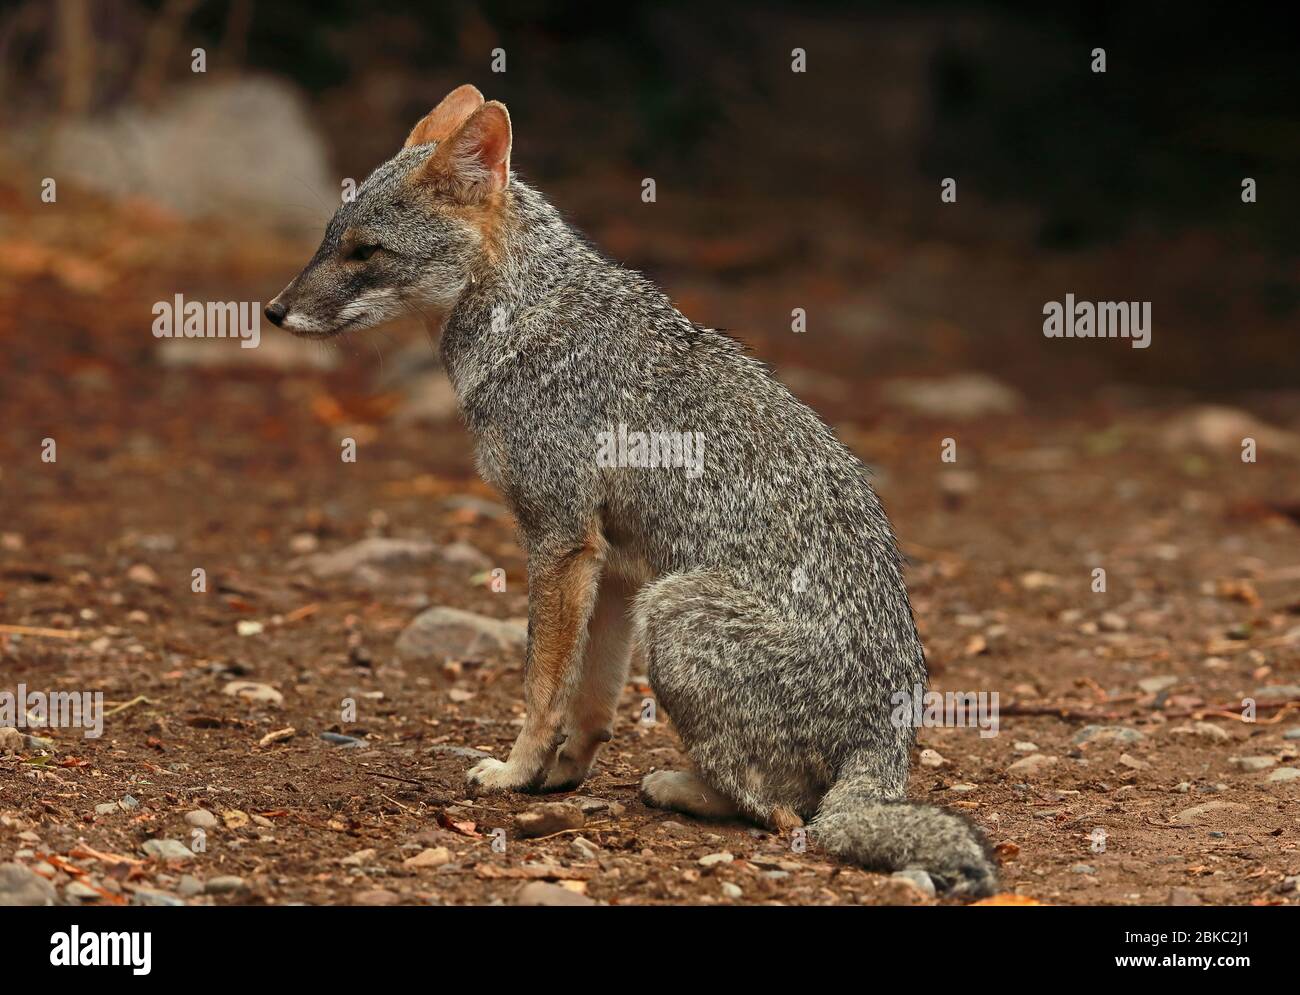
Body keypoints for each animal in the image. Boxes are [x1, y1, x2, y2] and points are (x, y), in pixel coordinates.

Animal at [268, 84, 998, 896]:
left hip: (673, 607)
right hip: (655, 598)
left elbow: (541, 685)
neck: (528, 320)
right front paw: (561, 773)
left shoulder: (559, 541)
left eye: (366, 251)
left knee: (779, 809)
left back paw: (683, 787)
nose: (273, 311)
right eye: (329, 238)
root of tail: (889, 731)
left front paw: (517, 772)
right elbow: (591, 698)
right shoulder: (611, 562)